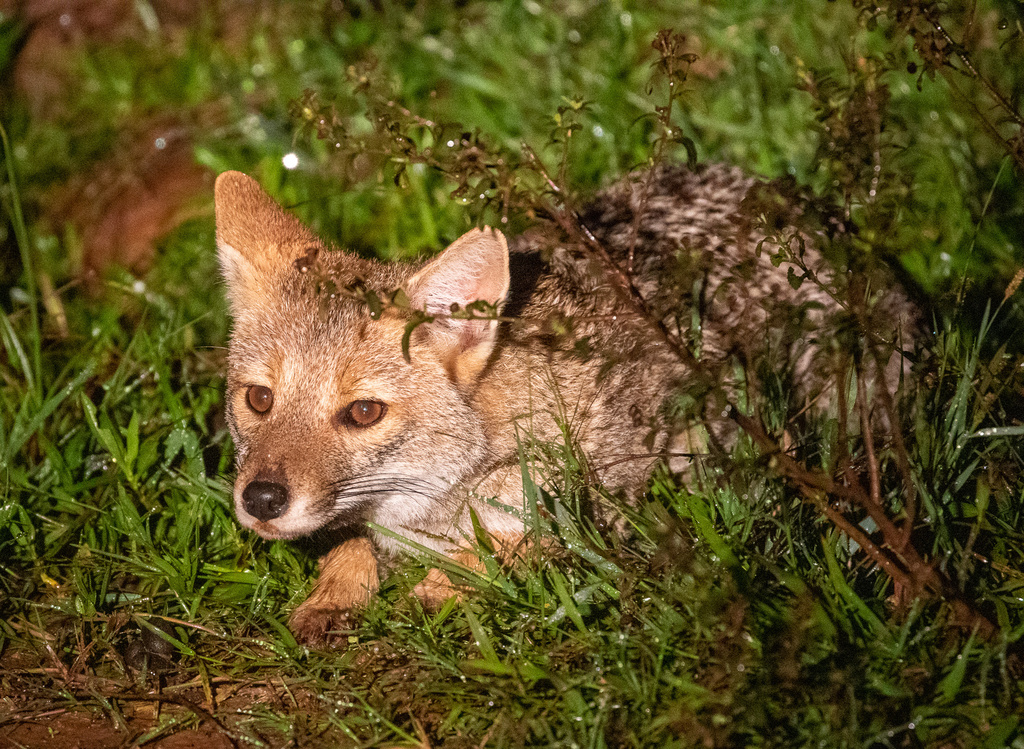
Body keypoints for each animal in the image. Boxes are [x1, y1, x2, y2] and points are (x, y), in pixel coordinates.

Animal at [214, 164, 914, 646]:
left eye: (362, 413)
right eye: (259, 399)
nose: (261, 500)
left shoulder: (603, 523)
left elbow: (489, 558)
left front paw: (423, 598)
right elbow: (352, 546)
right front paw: (332, 598)